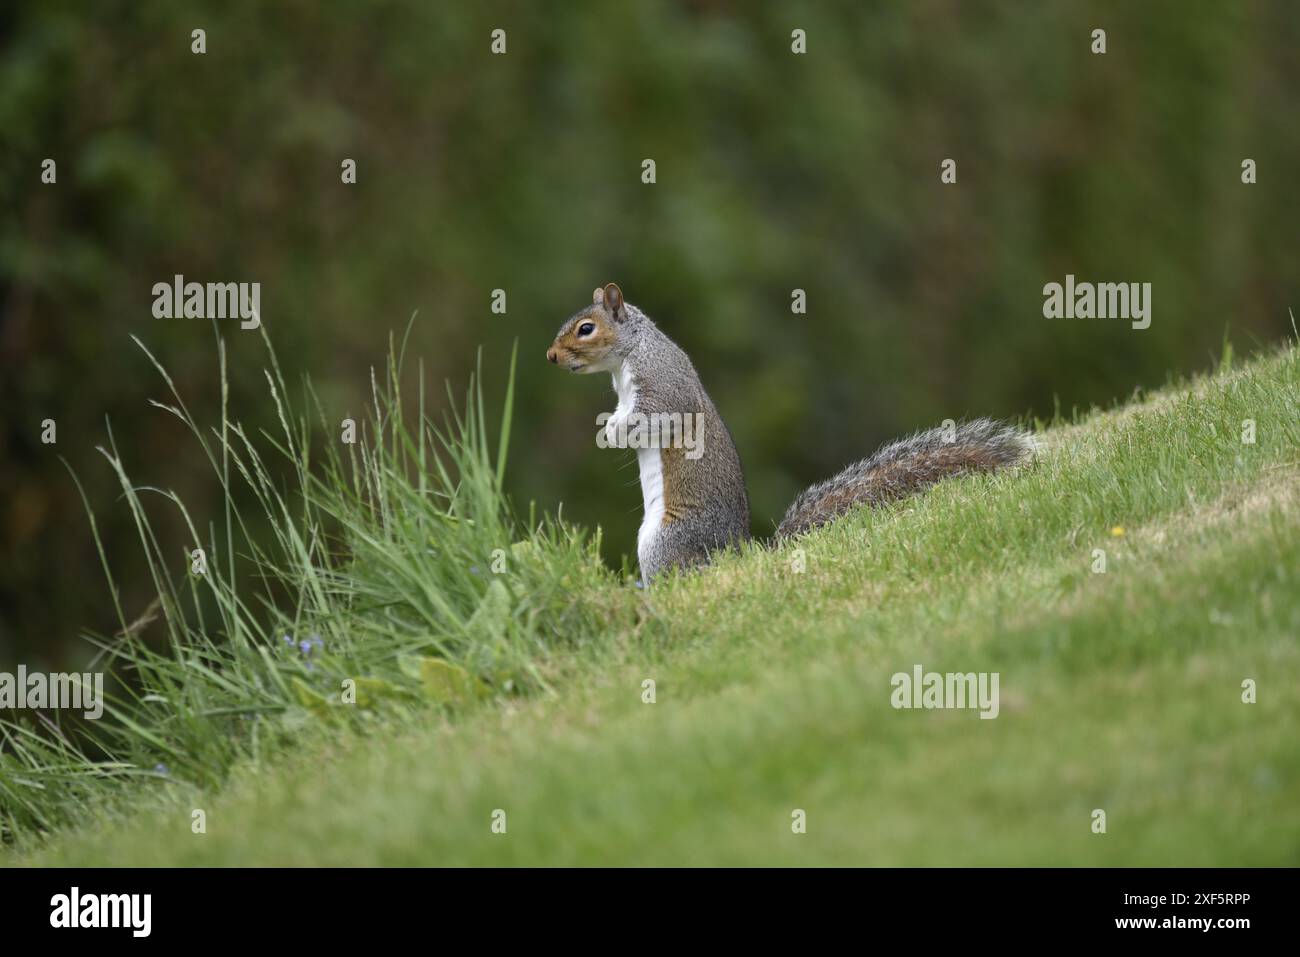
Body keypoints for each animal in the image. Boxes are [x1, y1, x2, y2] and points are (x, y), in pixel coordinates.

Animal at [547, 284, 1035, 582]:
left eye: (586, 329)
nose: (550, 356)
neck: (632, 351)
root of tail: (736, 553)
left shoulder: (663, 386)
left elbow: (651, 419)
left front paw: (610, 431)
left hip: (664, 542)